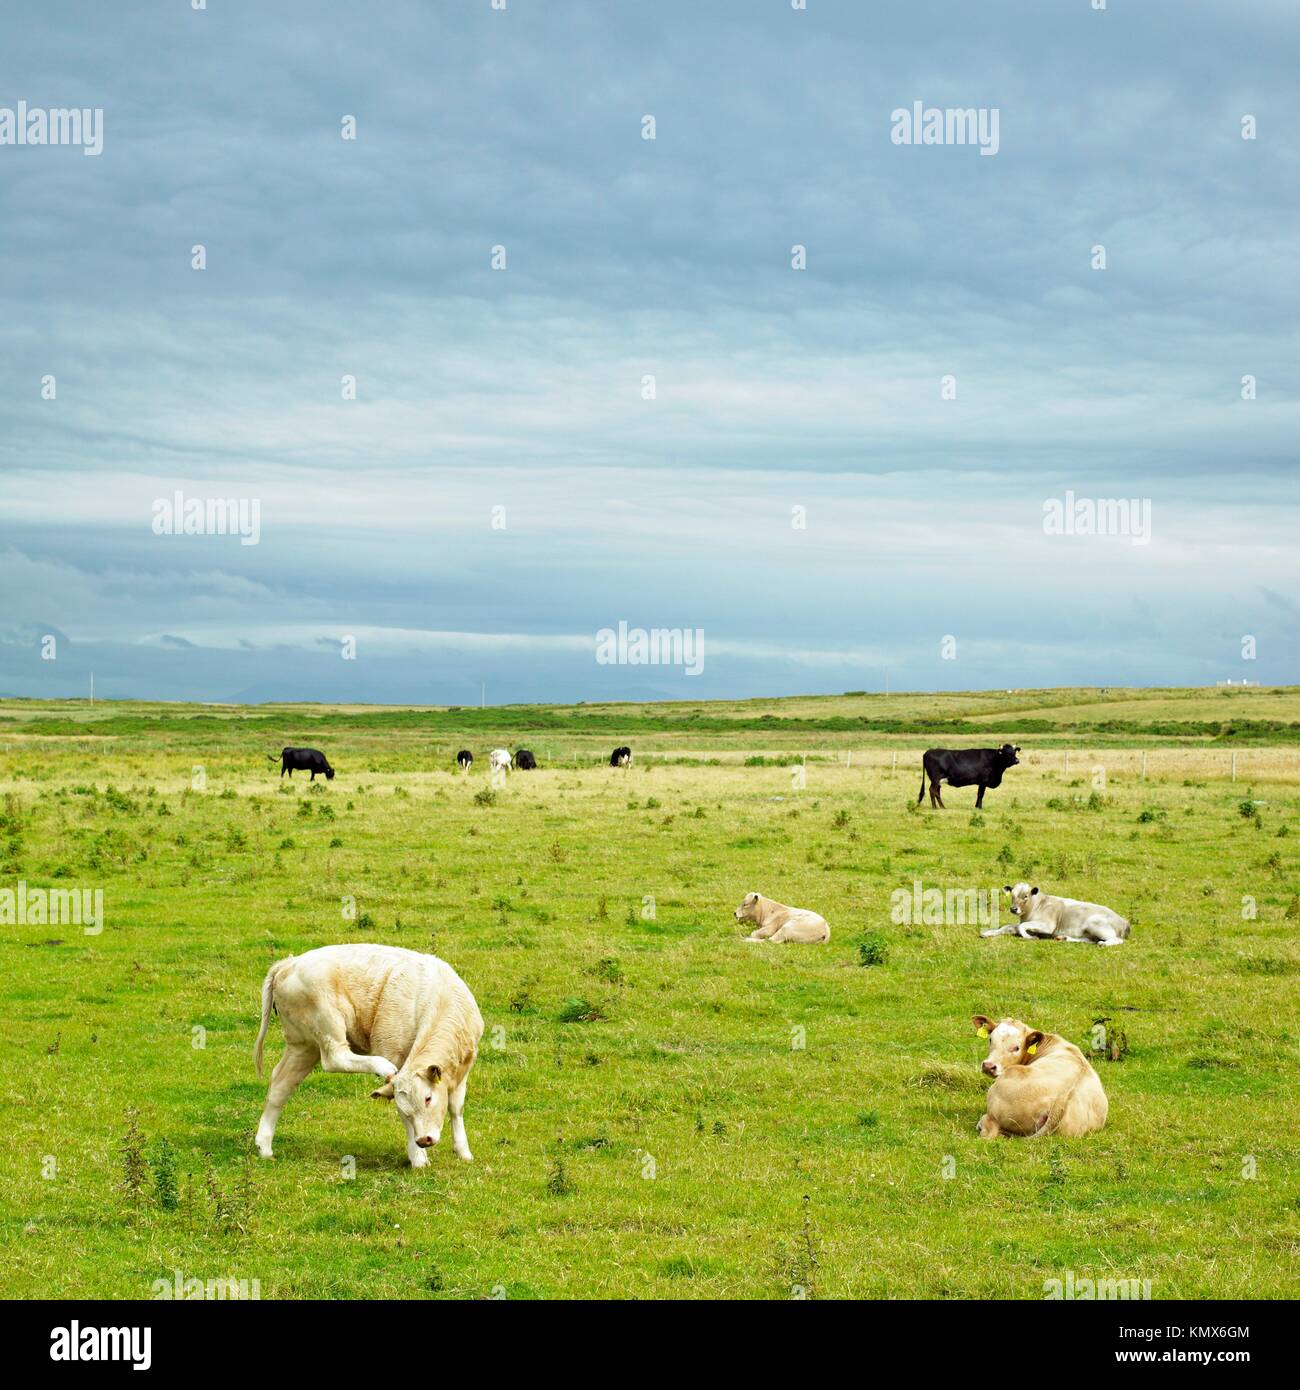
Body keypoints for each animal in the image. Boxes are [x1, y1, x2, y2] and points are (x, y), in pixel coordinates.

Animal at [253, 943, 483, 1168]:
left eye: (428, 1098)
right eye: (408, 1110)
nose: (423, 1140)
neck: (440, 999)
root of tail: (288, 963)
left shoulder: (462, 1071)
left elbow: (456, 1107)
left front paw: (463, 1152)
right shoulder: (392, 1052)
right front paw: (418, 1159)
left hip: (303, 1045)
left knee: (280, 1085)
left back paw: (264, 1147)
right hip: (327, 1021)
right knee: (334, 1057)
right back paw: (381, 1066)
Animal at [981, 882, 1131, 946]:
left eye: (1025, 896)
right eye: (1012, 895)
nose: (1013, 909)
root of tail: (1124, 921)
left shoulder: (1048, 926)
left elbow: (1021, 927)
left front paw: (1030, 937)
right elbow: (1009, 926)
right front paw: (988, 933)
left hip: (1096, 925)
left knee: (1116, 940)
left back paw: (1103, 944)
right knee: (1088, 940)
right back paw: (1064, 938)